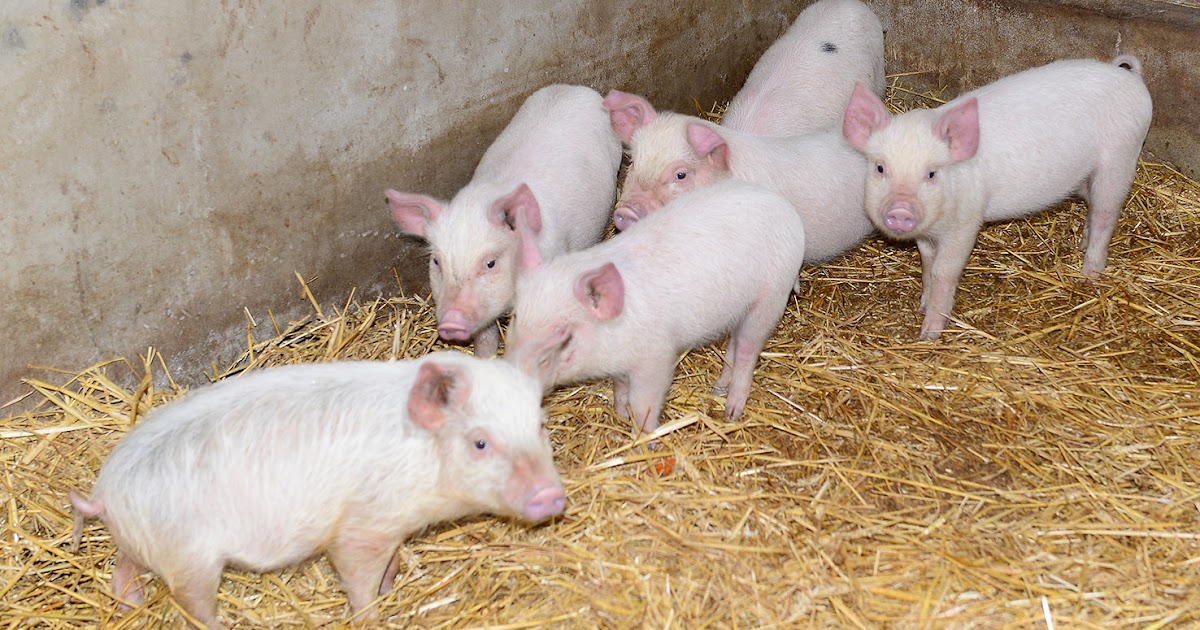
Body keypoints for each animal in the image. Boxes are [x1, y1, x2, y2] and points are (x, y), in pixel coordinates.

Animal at [68, 352, 565, 630]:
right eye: (480, 442)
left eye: (540, 426)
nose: (552, 496)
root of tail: (105, 494)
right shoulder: (361, 527)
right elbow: (358, 576)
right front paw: (373, 616)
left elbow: (390, 564)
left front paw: (391, 585)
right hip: (190, 560)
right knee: (192, 609)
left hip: (146, 545)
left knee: (122, 573)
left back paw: (129, 605)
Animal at [506, 180, 806, 433]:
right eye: (516, 317)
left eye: (563, 332)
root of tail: (787, 209)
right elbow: (619, 388)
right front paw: (620, 414)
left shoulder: (656, 358)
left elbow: (644, 403)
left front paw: (644, 435)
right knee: (734, 343)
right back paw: (717, 390)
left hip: (769, 298)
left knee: (747, 350)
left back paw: (731, 411)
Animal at [841, 55, 1153, 339]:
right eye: (880, 168)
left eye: (931, 173)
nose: (900, 211)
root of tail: (1132, 79)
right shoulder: (927, 235)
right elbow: (927, 265)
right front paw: (922, 306)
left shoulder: (966, 222)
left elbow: (943, 271)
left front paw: (929, 335)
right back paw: (1082, 245)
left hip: (1120, 159)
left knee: (1105, 215)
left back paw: (1088, 275)